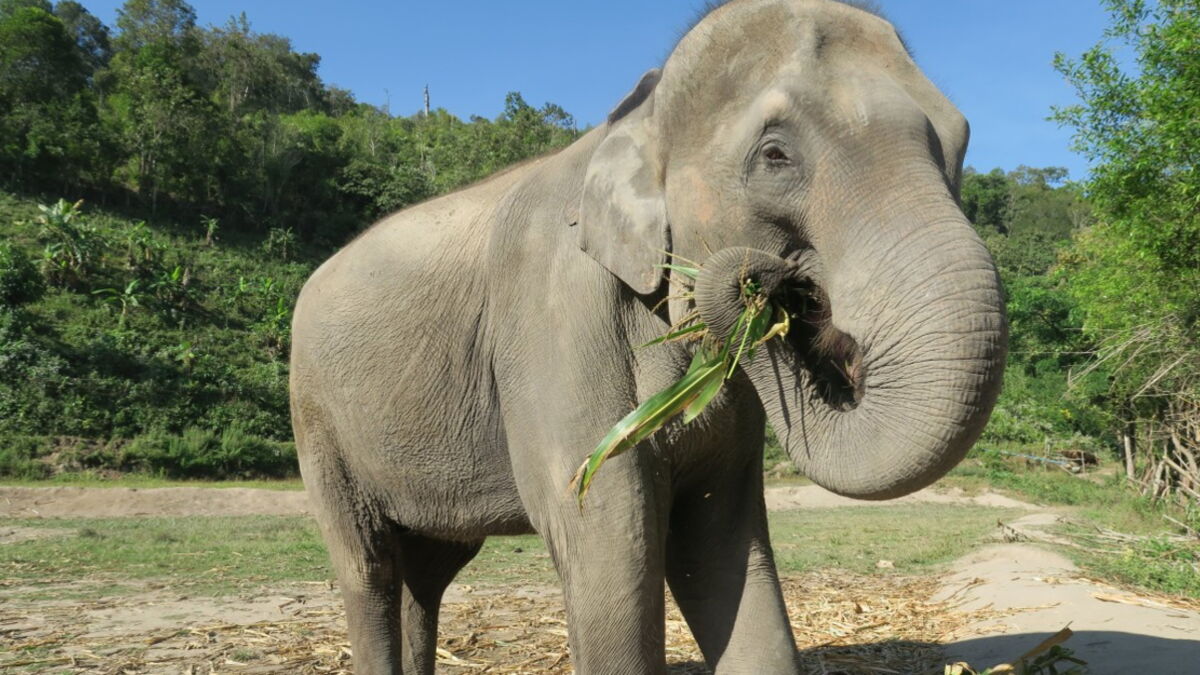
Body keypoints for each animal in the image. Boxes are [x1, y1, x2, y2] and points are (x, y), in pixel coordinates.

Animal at [288, 0, 1007, 672]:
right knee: (370, 566)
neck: (639, 114)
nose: (766, 288)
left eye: (960, 145)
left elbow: (718, 538)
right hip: (317, 419)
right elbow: (608, 531)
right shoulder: (555, 315)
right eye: (774, 155)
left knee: (428, 569)